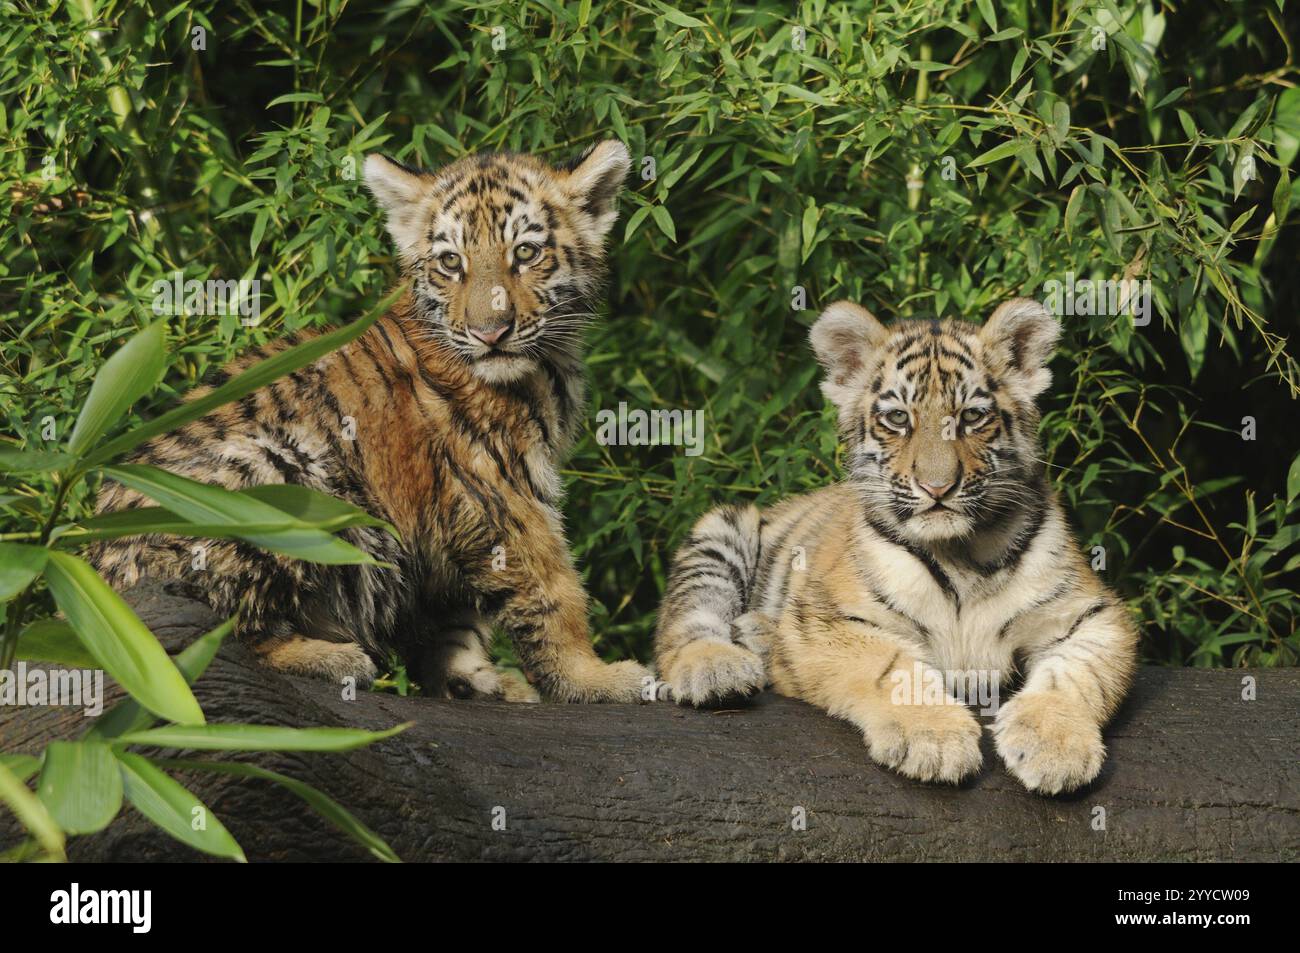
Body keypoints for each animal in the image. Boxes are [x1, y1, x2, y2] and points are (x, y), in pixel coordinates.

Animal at [89, 139, 653, 703]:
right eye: (452, 262)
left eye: (527, 254)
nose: (491, 332)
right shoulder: (500, 487)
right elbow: (554, 591)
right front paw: (594, 677)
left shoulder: (454, 509)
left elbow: (458, 620)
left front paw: (473, 679)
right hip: (273, 470)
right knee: (214, 635)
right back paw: (330, 657)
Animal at [654, 298, 1138, 794]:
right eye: (899, 418)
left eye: (971, 416)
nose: (938, 487)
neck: (960, 552)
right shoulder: (829, 620)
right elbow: (891, 664)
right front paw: (934, 740)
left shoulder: (1091, 613)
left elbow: (1075, 674)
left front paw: (1056, 746)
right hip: (722, 532)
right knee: (684, 624)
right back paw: (720, 667)